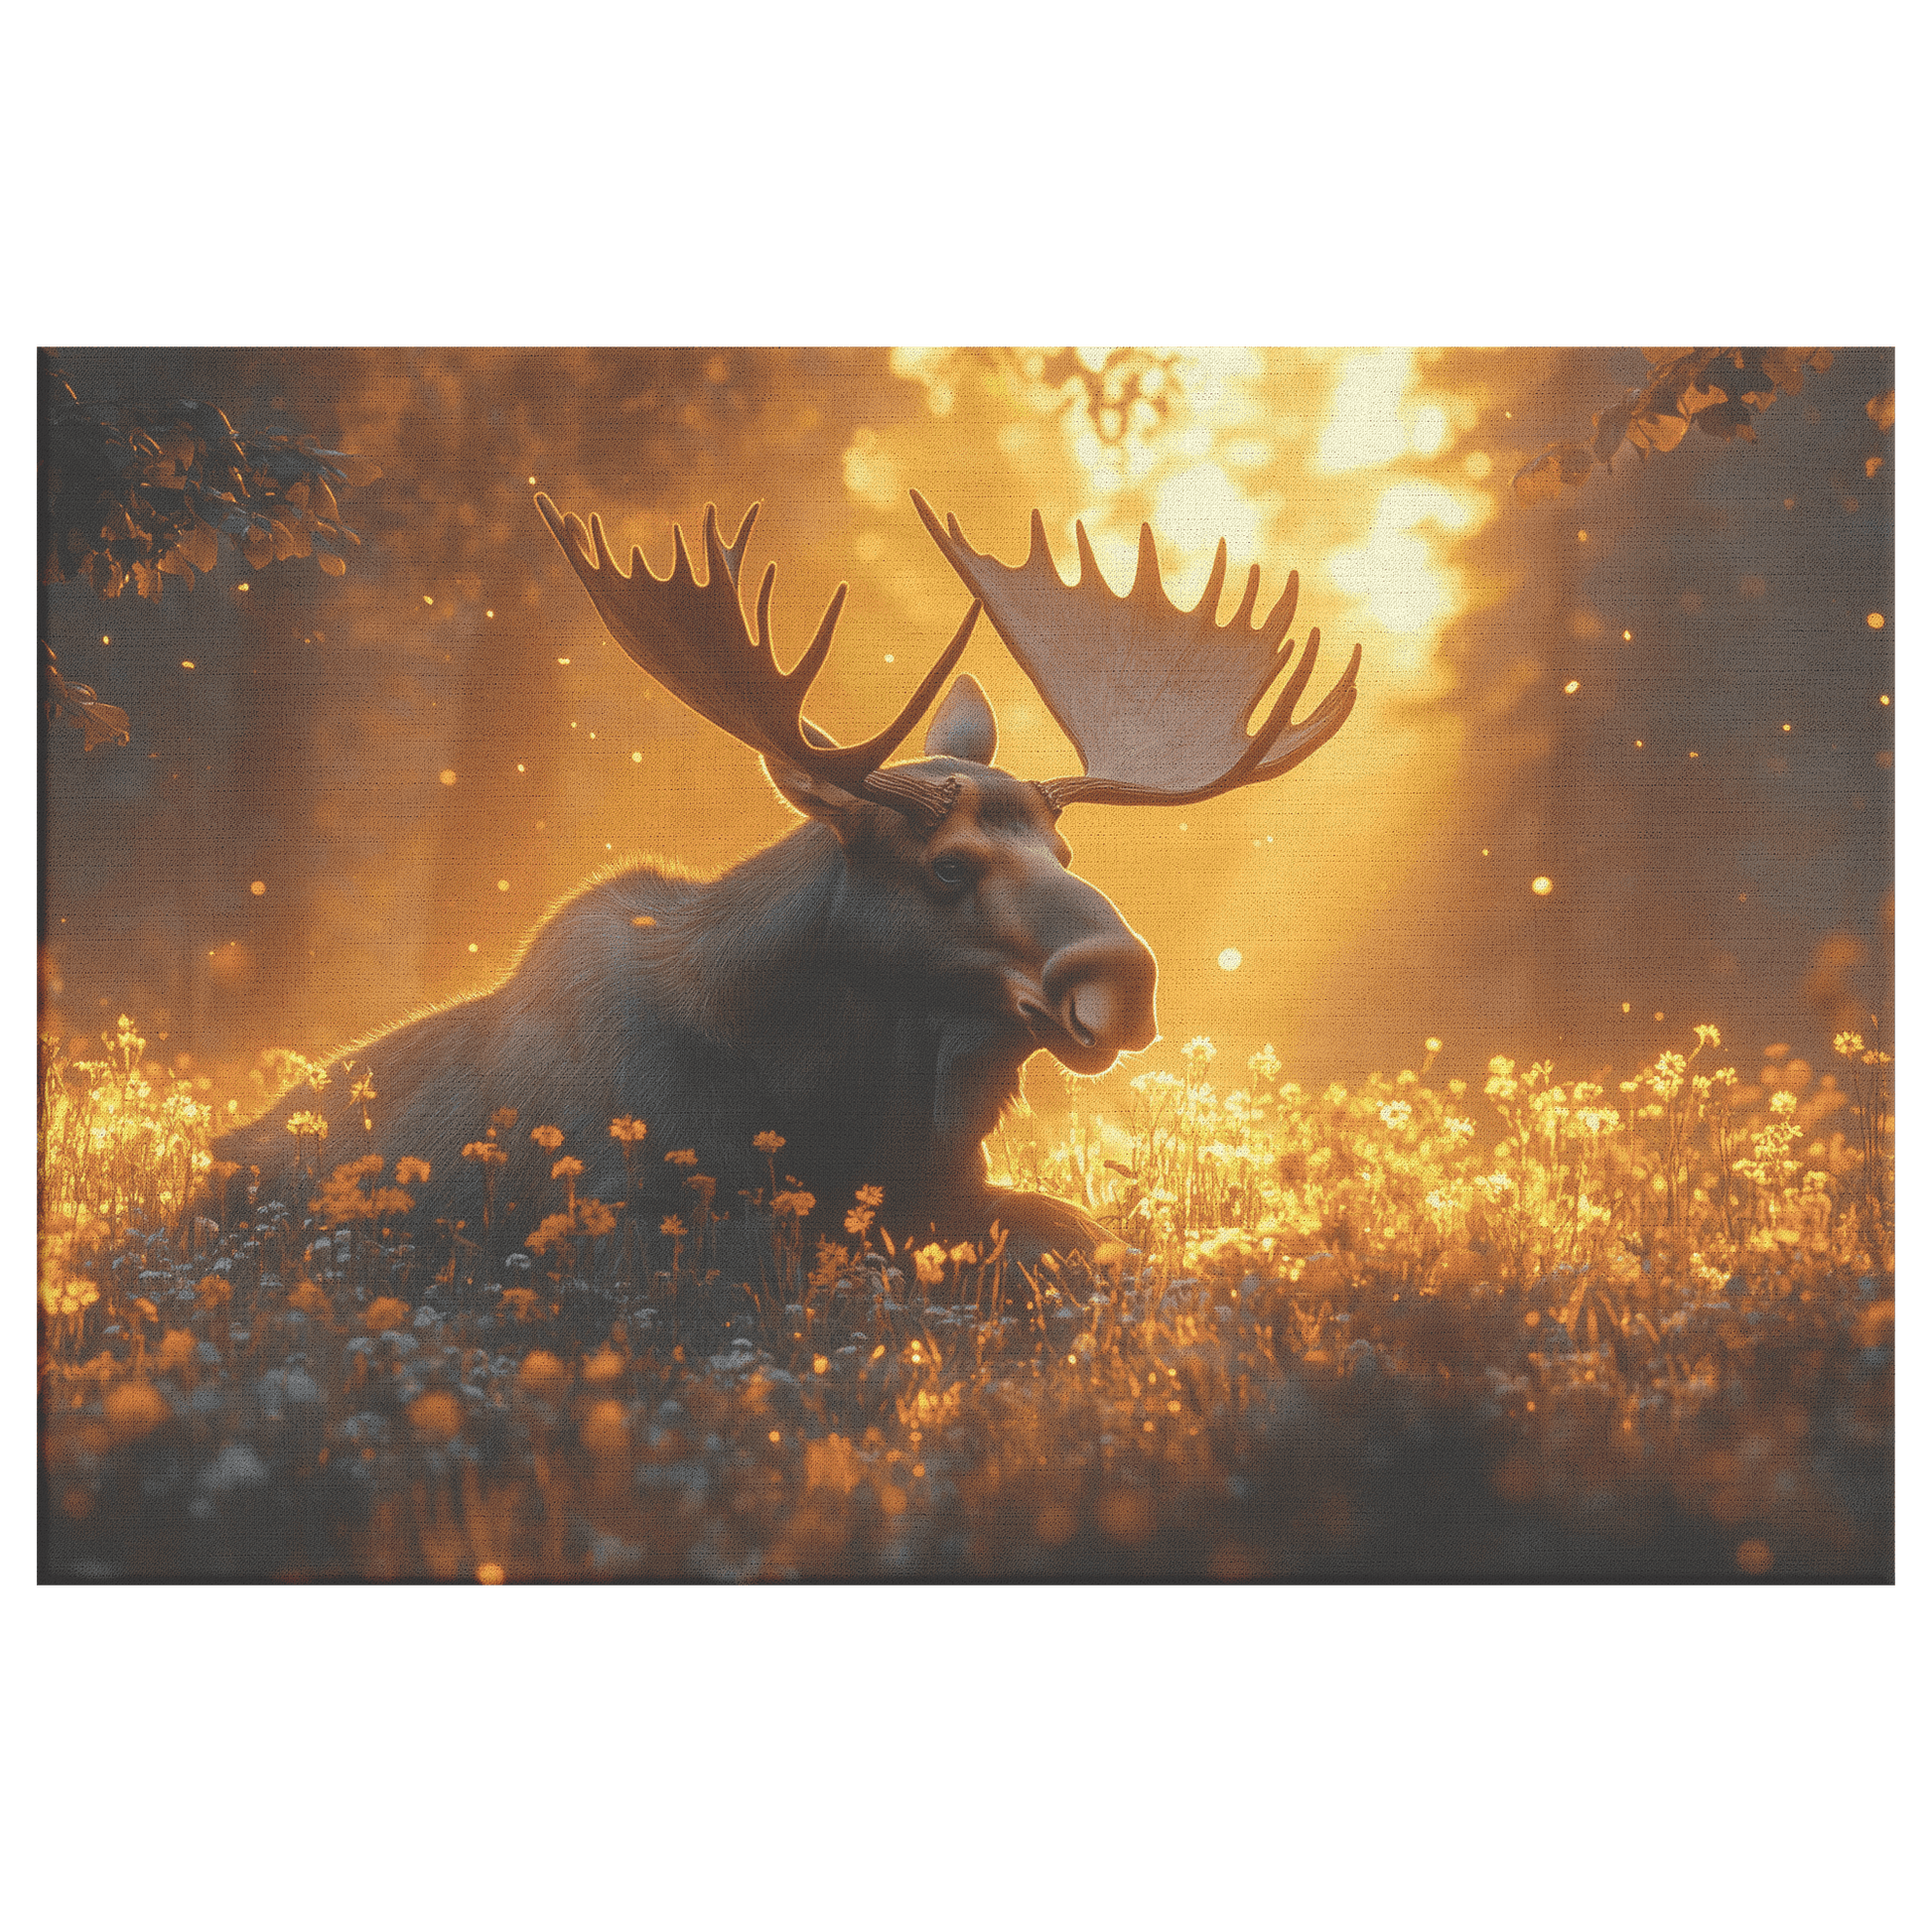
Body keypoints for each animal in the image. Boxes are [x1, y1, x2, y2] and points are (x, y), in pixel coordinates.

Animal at [217, 486, 1359, 1283]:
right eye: (947, 865)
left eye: (1067, 856)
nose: (1121, 973)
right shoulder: (614, 1210)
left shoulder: (949, 1188)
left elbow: (1094, 1239)